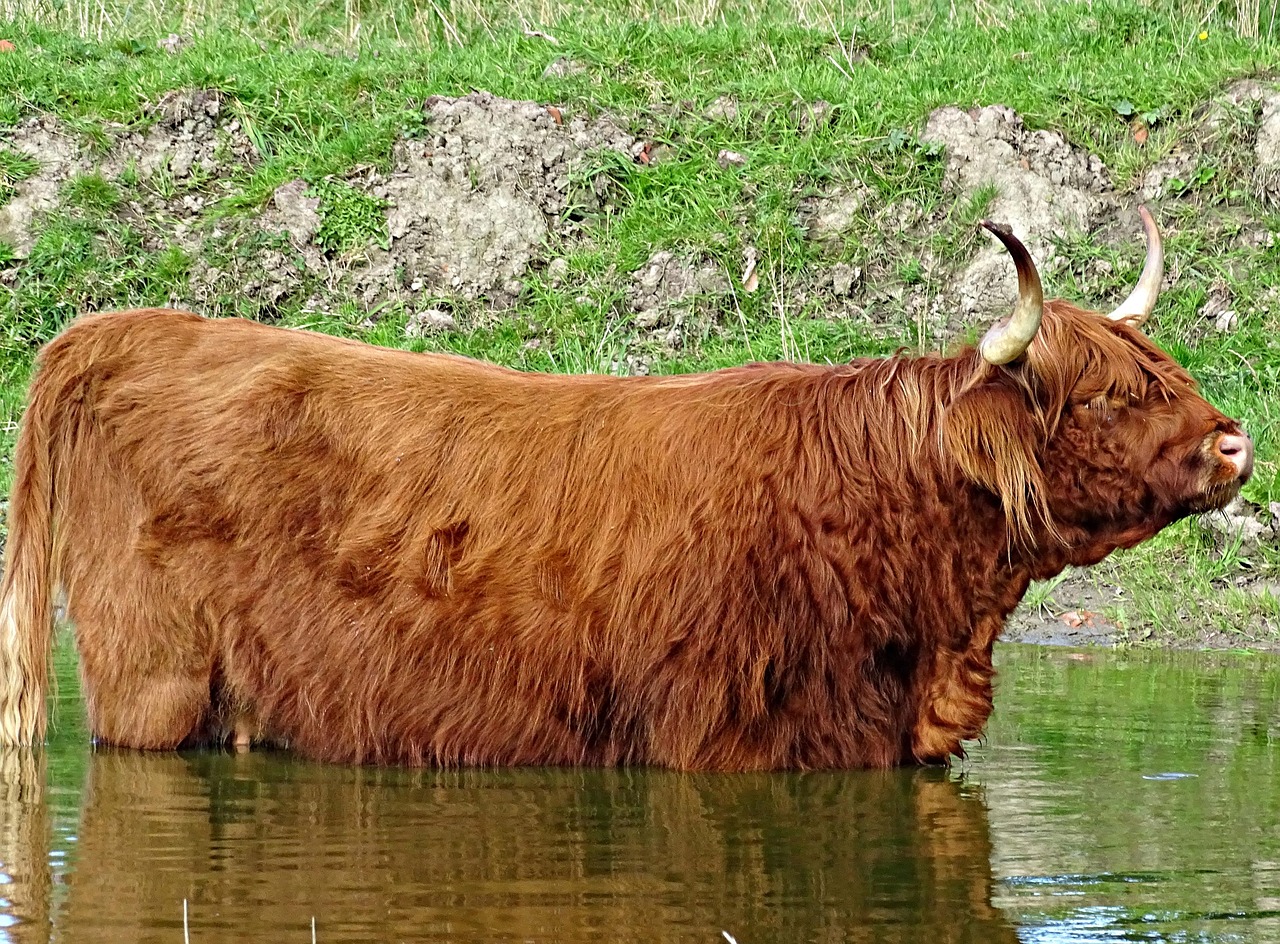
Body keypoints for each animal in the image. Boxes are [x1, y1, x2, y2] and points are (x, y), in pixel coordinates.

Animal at [0, 208, 1254, 771]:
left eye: (1164, 369)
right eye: (1105, 396)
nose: (1234, 445)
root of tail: (122, 329)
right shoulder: (718, 741)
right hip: (155, 682)